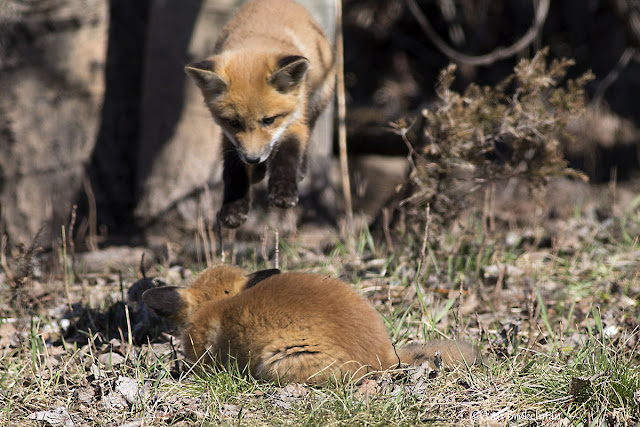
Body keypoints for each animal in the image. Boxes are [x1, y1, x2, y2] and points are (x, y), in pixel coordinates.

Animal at [184, 0, 336, 228]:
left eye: (269, 120)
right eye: (234, 122)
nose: (253, 159)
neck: (256, 41)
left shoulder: (295, 117)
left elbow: (288, 153)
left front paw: (283, 190)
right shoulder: (229, 136)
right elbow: (234, 170)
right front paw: (234, 208)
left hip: (318, 98)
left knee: (310, 130)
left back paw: (298, 169)